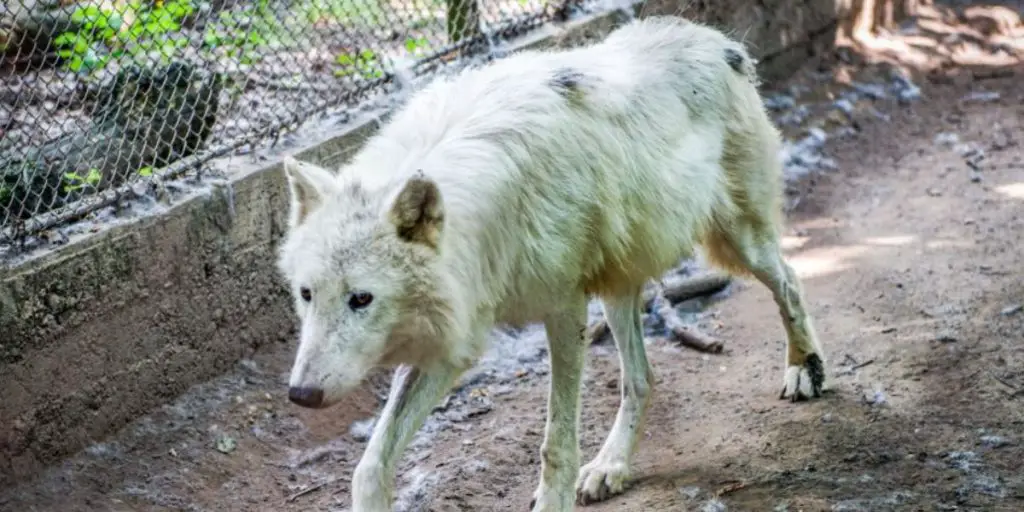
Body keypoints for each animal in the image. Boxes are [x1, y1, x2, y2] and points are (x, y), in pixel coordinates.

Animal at [276, 15, 830, 512]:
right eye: (306, 295)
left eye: (361, 298)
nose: (300, 394)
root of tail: (715, 40)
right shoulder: (454, 331)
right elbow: (371, 465)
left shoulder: (563, 308)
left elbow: (555, 441)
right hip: (618, 286)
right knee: (641, 378)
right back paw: (611, 466)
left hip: (738, 243)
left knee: (790, 280)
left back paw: (804, 368)